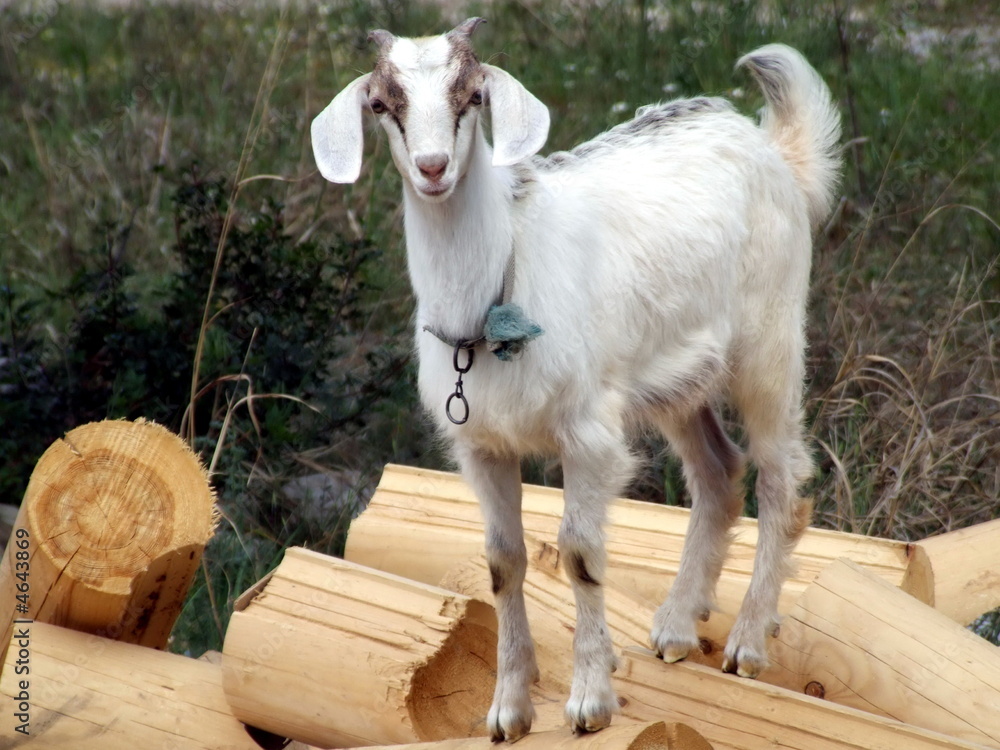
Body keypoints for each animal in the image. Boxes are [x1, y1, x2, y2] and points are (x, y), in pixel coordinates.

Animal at [311, 18, 841, 741]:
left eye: (472, 96)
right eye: (381, 104)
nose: (433, 168)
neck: (497, 286)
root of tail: (770, 148)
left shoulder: (586, 434)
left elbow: (579, 553)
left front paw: (591, 701)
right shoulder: (480, 447)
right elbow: (503, 562)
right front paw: (507, 710)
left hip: (769, 339)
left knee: (783, 474)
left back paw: (747, 644)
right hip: (673, 375)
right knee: (718, 472)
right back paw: (676, 627)